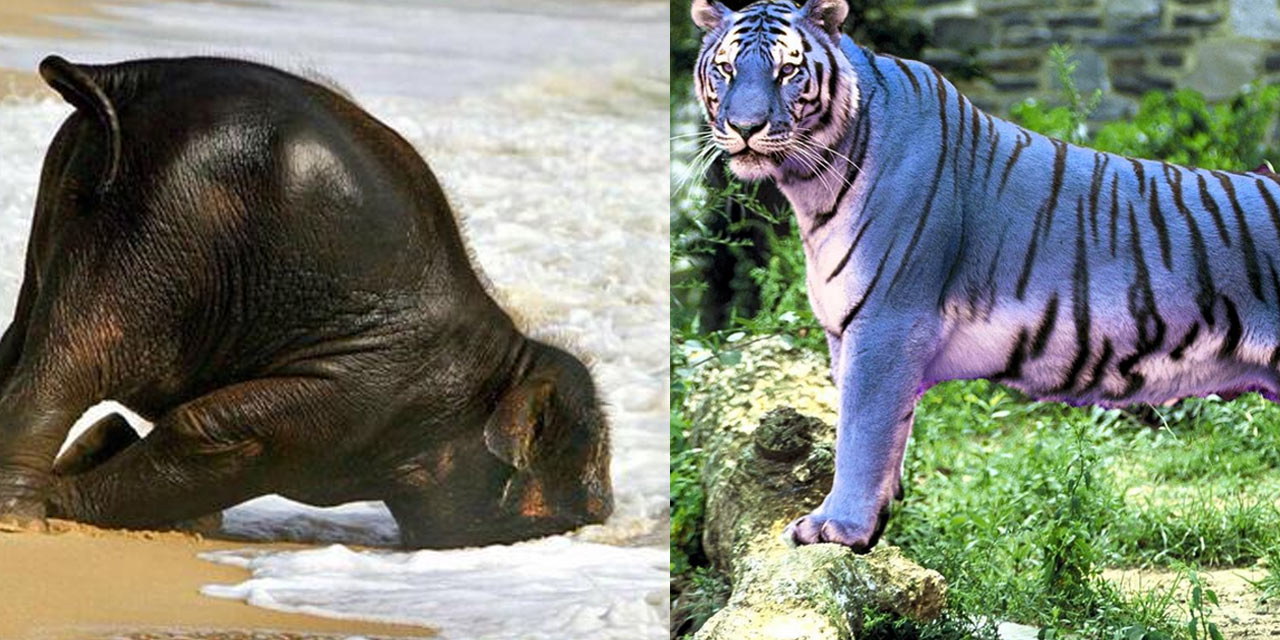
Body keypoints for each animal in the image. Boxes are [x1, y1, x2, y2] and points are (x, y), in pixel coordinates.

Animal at [691, 0, 1280, 551]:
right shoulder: (846, 332)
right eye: (724, 69)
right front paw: (878, 524)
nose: (745, 129)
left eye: (788, 70)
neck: (813, 183)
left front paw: (836, 528)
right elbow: (880, 434)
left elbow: (861, 430)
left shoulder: (887, 322)